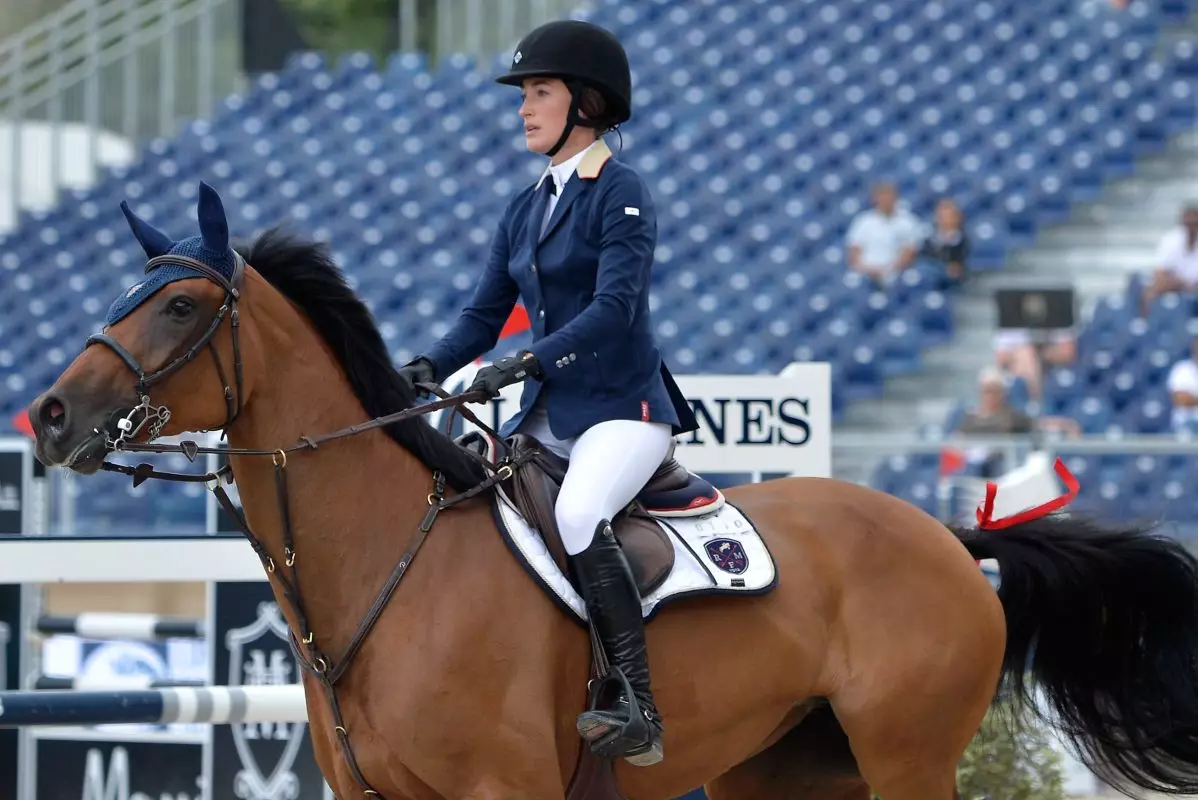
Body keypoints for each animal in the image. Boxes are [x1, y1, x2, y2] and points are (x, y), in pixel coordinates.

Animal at [25, 183, 1198, 800]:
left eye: (179, 307)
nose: (49, 418)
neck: (383, 564)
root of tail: (951, 539)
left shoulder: (504, 788)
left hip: (906, 756)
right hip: (783, 769)